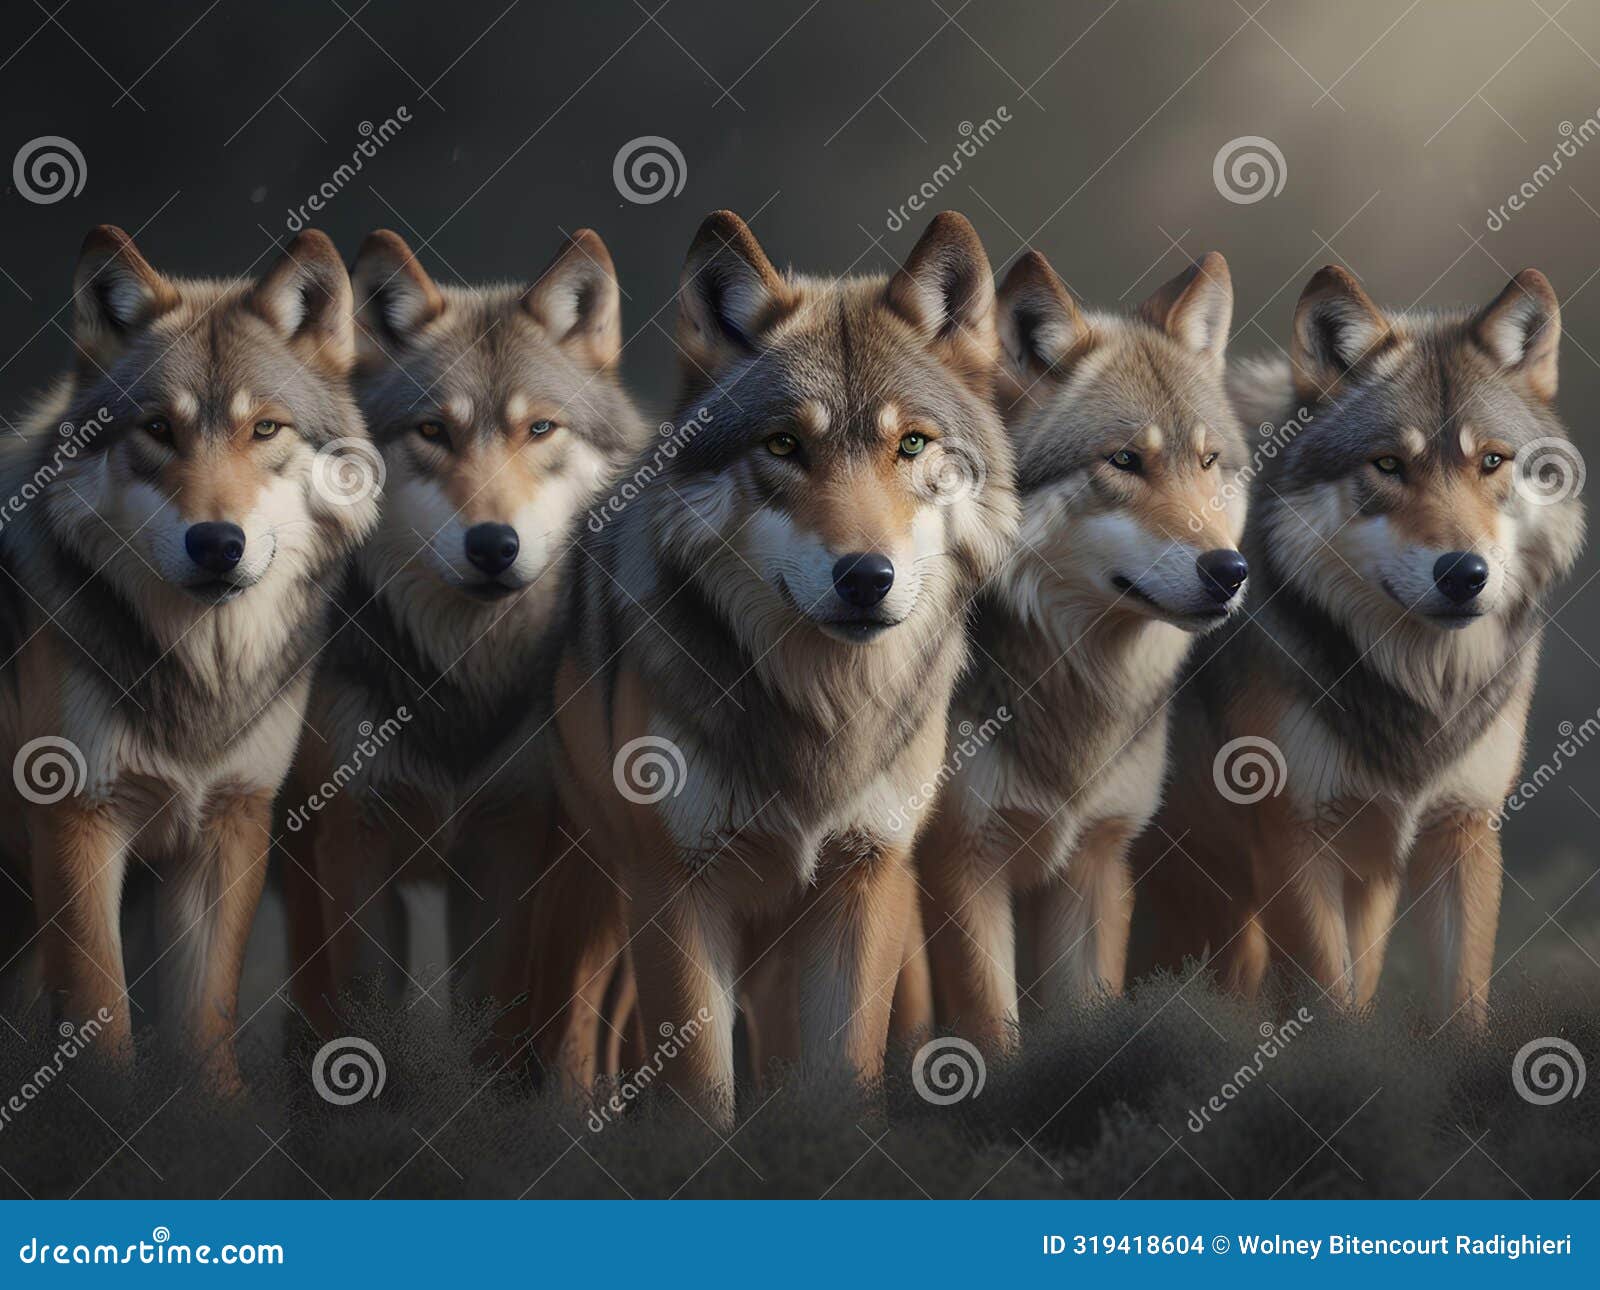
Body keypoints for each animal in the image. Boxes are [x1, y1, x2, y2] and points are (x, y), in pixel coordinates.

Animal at [0, 225, 376, 1084]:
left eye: (264, 430)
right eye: (158, 430)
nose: (216, 543)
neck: (201, 671)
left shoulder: (232, 822)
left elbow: (206, 1026)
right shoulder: (77, 822)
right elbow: (105, 1021)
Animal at [278, 228, 647, 1056]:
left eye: (539, 429)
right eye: (433, 432)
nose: (493, 546)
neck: (463, 675)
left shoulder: (508, 842)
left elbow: (491, 1021)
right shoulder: (355, 841)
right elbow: (368, 1023)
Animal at [543, 210, 1018, 1122]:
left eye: (912, 444)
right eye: (784, 444)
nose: (866, 577)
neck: (822, 709)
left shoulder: (864, 878)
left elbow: (841, 1076)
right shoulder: (676, 886)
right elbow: (700, 1094)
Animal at [905, 249, 1249, 1045]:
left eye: (1208, 461)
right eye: (1124, 460)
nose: (1230, 571)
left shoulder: (1097, 861)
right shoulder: (962, 867)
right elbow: (992, 1035)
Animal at [1139, 265, 1585, 1026]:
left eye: (1492, 461)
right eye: (1388, 465)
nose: (1464, 573)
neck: (1414, 687)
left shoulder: (1460, 831)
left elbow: (1458, 1004)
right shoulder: (1294, 837)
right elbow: (1328, 1000)